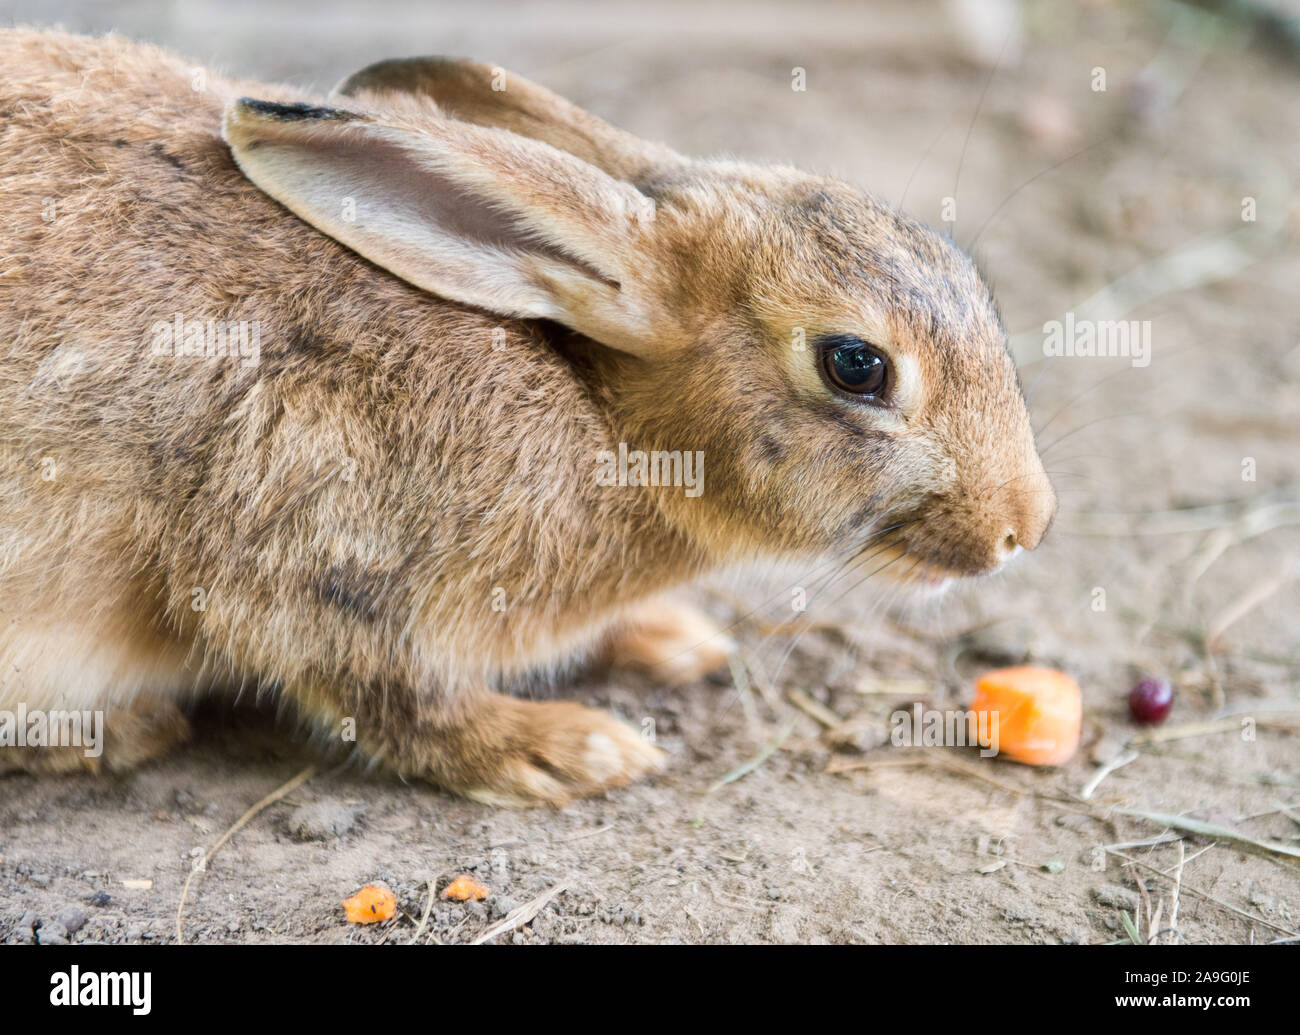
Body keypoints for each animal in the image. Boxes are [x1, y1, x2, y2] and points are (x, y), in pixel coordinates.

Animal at [0, 29, 1055, 805]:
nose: (1026, 526)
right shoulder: (309, 540)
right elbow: (391, 699)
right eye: (855, 366)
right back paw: (119, 731)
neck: (608, 422)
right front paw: (570, 750)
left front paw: (673, 641)